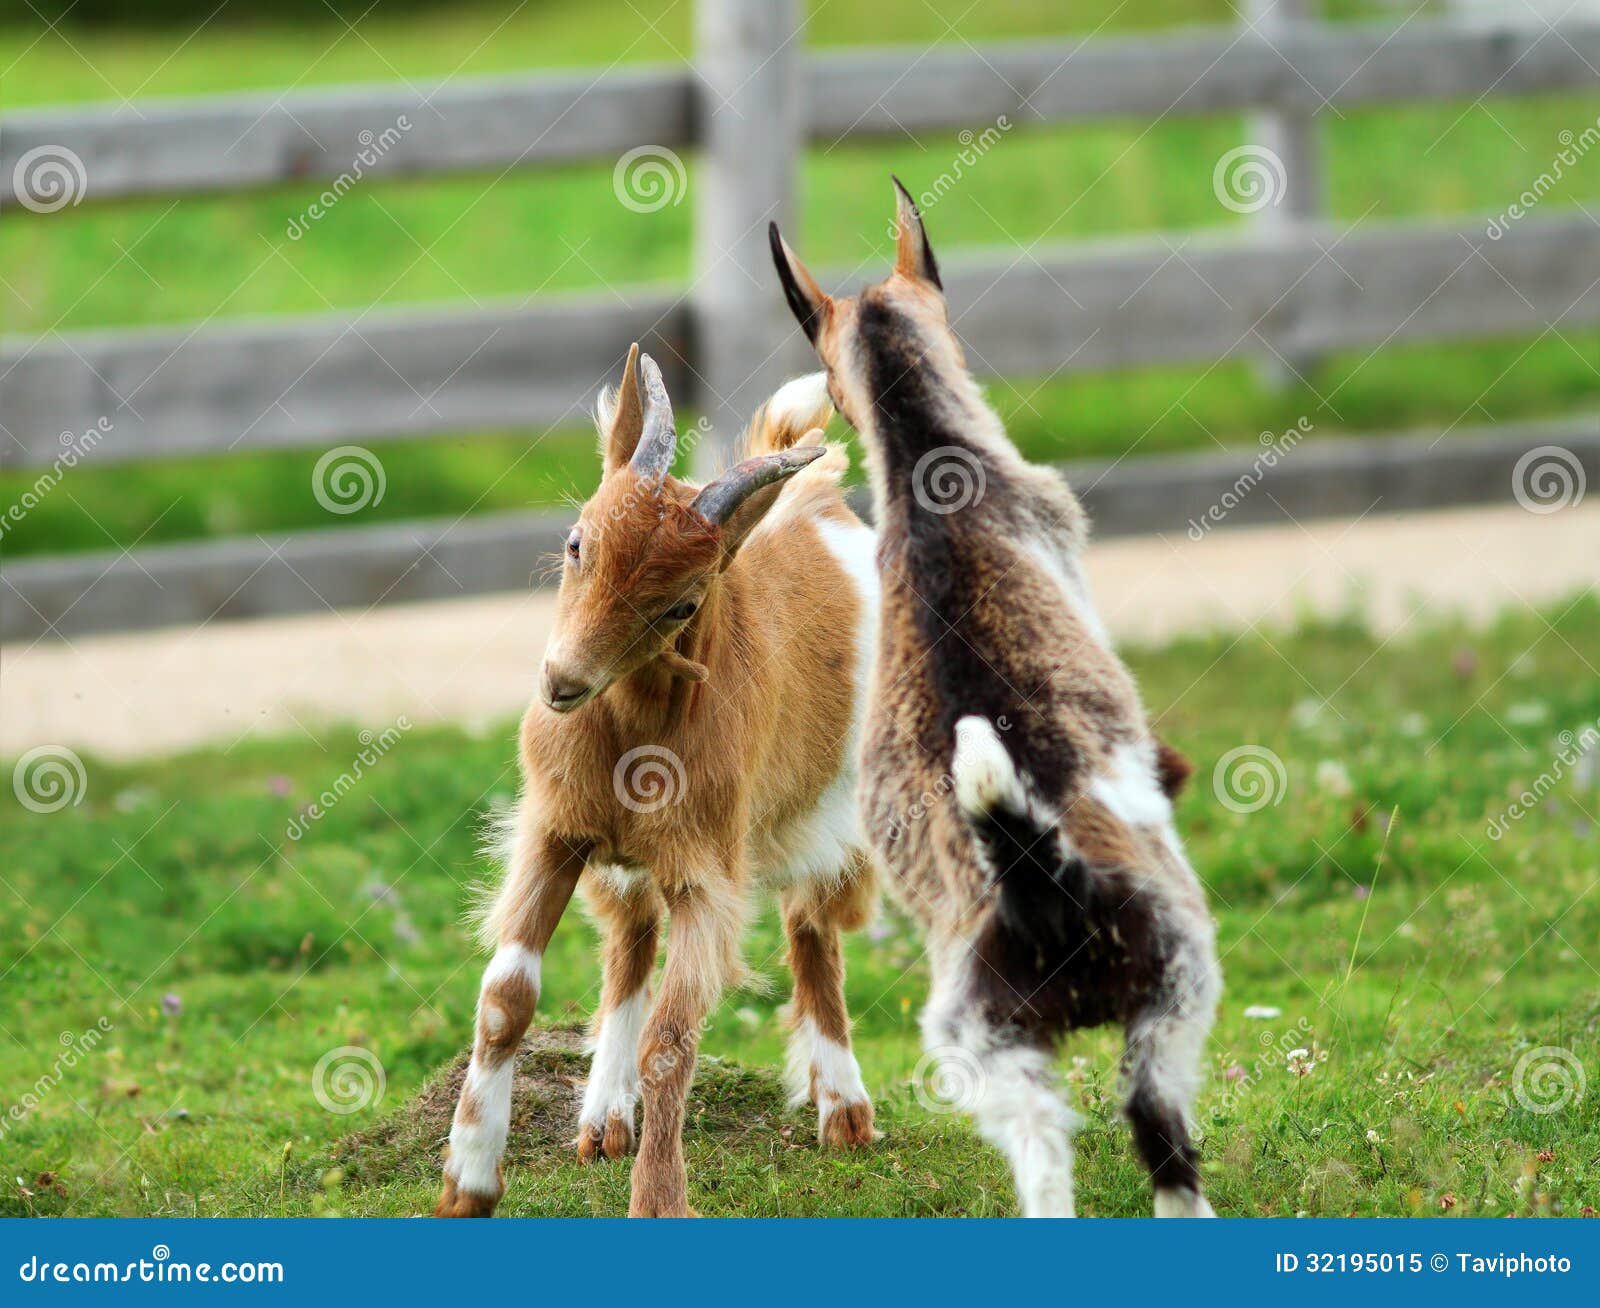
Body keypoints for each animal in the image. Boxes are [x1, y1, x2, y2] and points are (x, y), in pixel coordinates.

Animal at [434, 346, 879, 1218]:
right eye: (577, 543)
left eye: (681, 606)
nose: (562, 682)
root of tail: (815, 500)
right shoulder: (555, 831)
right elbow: (506, 999)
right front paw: (467, 1182)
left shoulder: (708, 871)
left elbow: (671, 1043)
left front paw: (660, 1199)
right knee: (633, 941)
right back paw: (605, 1119)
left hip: (837, 805)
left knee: (812, 921)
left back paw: (842, 1107)